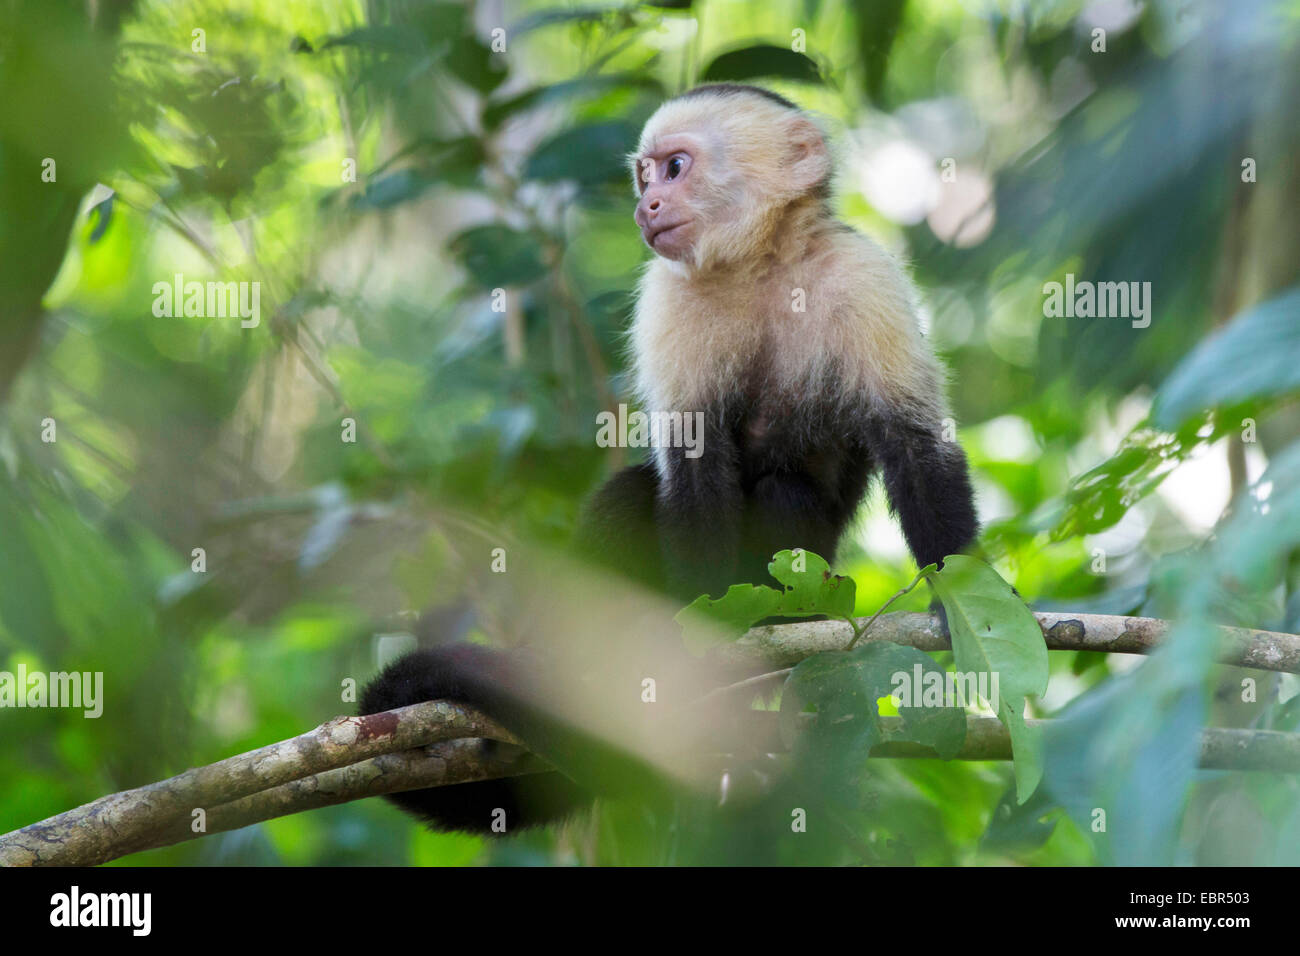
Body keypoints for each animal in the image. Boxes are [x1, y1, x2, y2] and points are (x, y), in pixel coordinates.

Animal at [359, 83, 978, 836]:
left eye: (676, 168)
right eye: (643, 176)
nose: (646, 205)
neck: (763, 264)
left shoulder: (865, 278)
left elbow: (916, 443)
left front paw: (960, 598)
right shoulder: (670, 297)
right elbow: (692, 470)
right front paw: (701, 648)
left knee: (787, 494)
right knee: (630, 493)